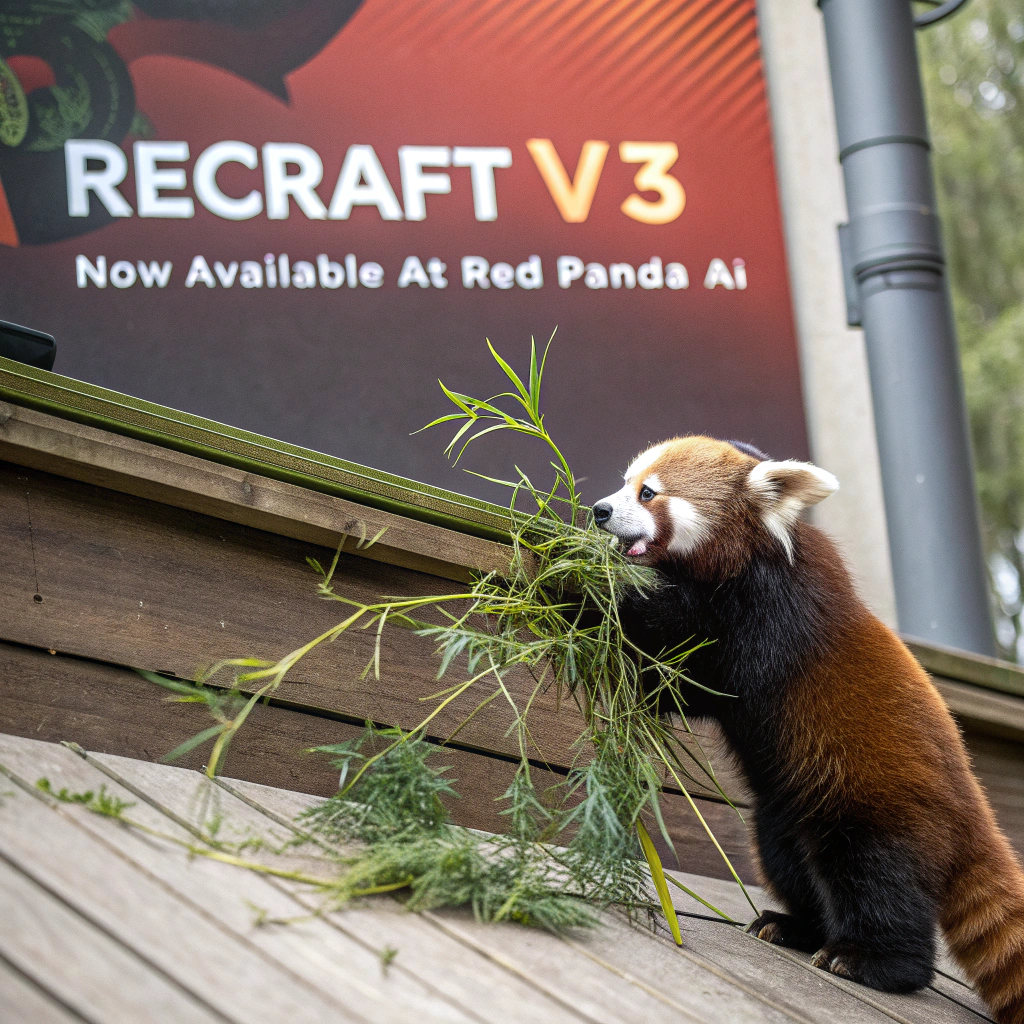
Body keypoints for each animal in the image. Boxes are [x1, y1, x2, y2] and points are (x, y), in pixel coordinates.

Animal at [592, 435, 1024, 1024]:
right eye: (624, 483)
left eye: (648, 493)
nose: (599, 510)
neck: (747, 557)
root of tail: (974, 812)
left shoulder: (767, 621)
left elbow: (690, 672)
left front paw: (592, 590)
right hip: (786, 812)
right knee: (791, 862)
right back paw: (795, 927)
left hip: (881, 810)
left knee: (876, 884)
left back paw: (870, 962)